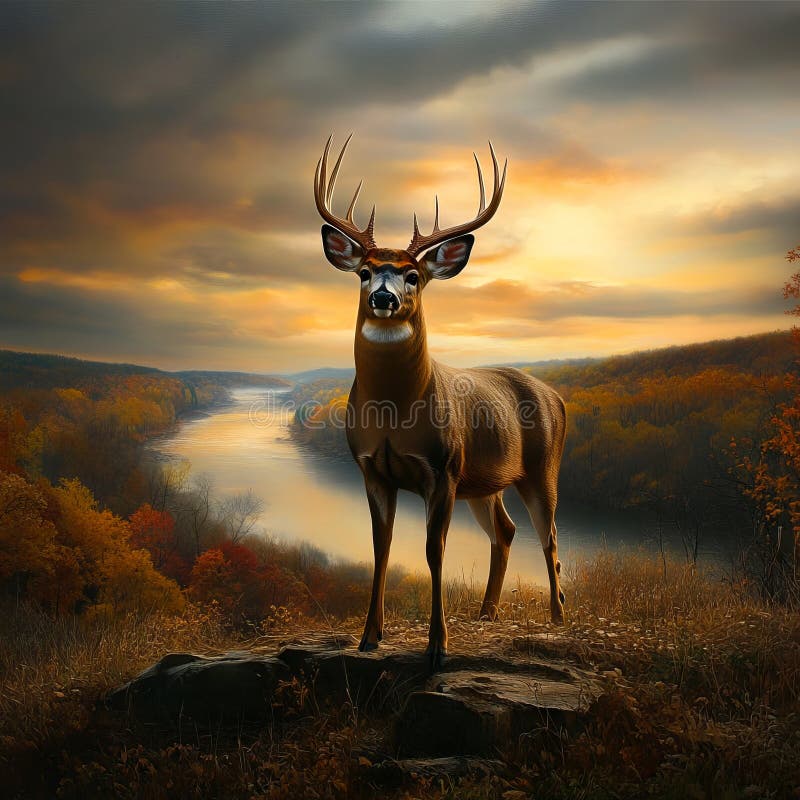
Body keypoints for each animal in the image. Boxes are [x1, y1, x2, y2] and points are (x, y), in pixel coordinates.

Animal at [314, 136, 567, 670]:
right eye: (364, 272)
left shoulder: (443, 469)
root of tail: (556, 395)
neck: (394, 413)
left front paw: (437, 646)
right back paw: (487, 612)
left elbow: (434, 550)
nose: (384, 298)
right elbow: (382, 547)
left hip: (541, 468)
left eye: (413, 276)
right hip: (486, 482)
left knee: (549, 535)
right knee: (506, 531)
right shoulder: (370, 468)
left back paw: (558, 618)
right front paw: (369, 636)